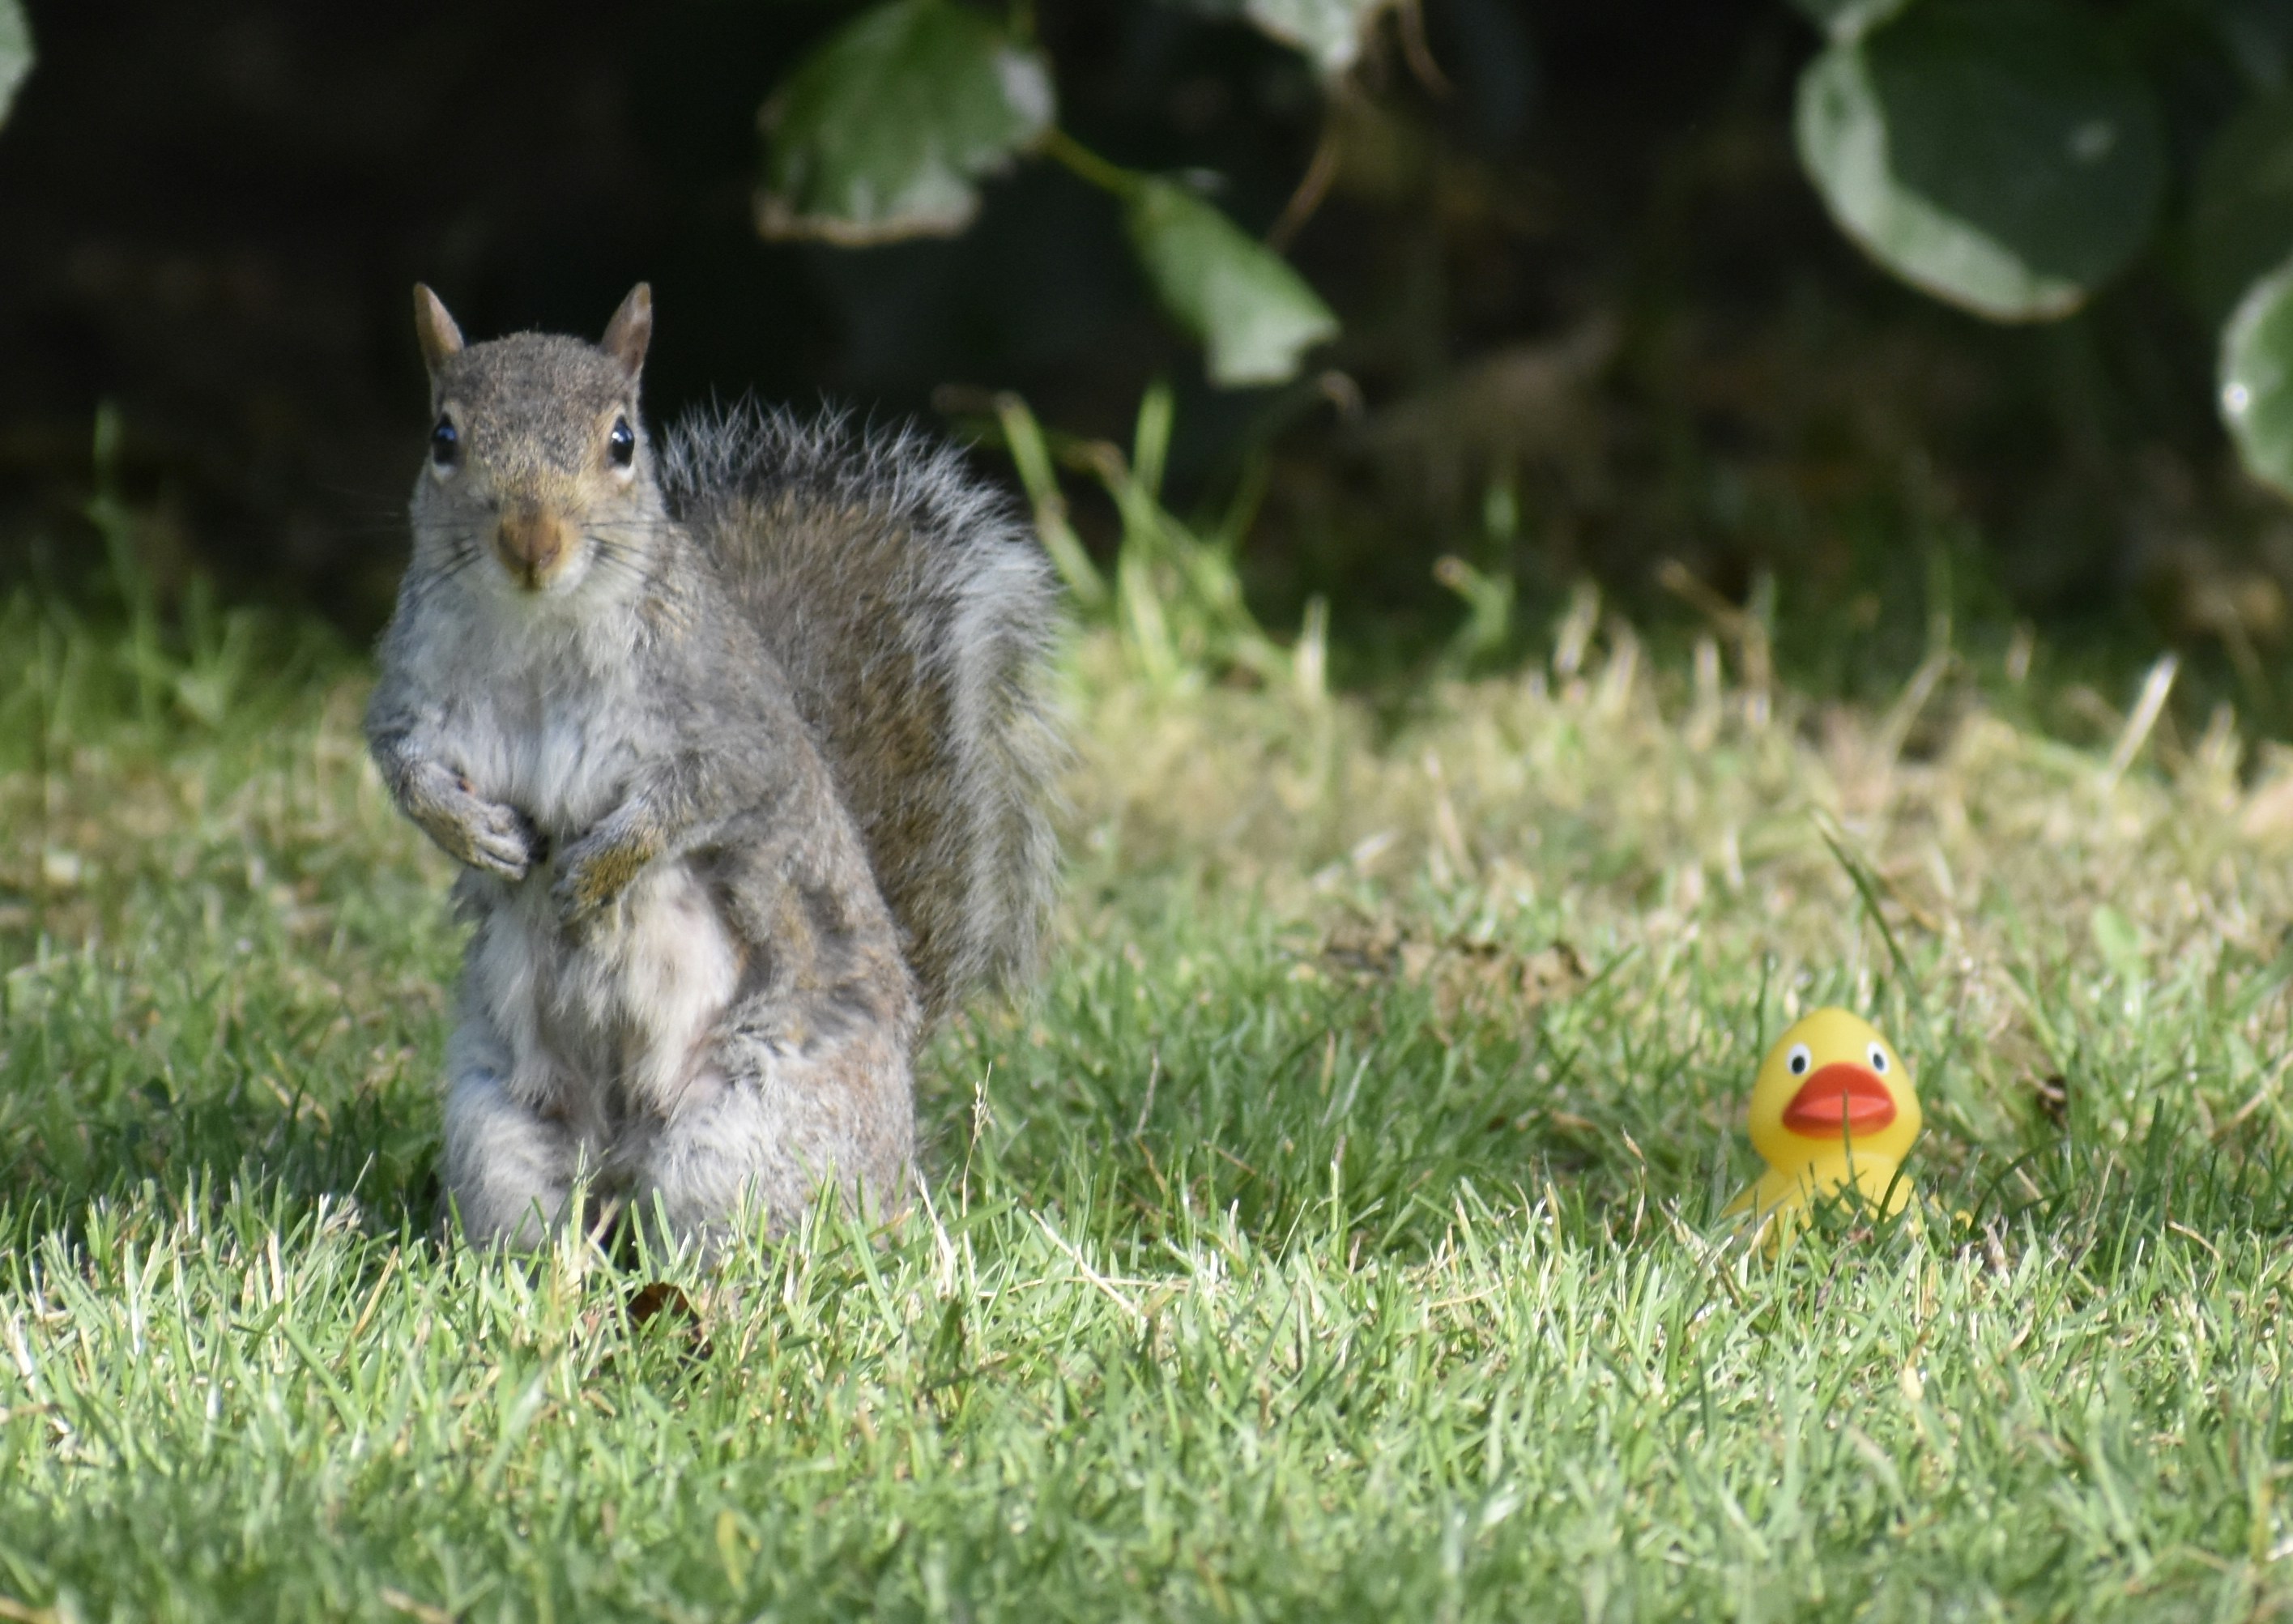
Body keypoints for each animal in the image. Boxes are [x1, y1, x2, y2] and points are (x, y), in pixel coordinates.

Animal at [364, 283, 1063, 1251]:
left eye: (622, 440)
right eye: (443, 438)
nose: (531, 540)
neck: (536, 627)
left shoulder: (733, 727)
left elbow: (695, 799)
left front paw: (599, 867)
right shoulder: (412, 700)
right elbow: (405, 769)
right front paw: (475, 835)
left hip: (748, 1141)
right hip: (505, 1136)